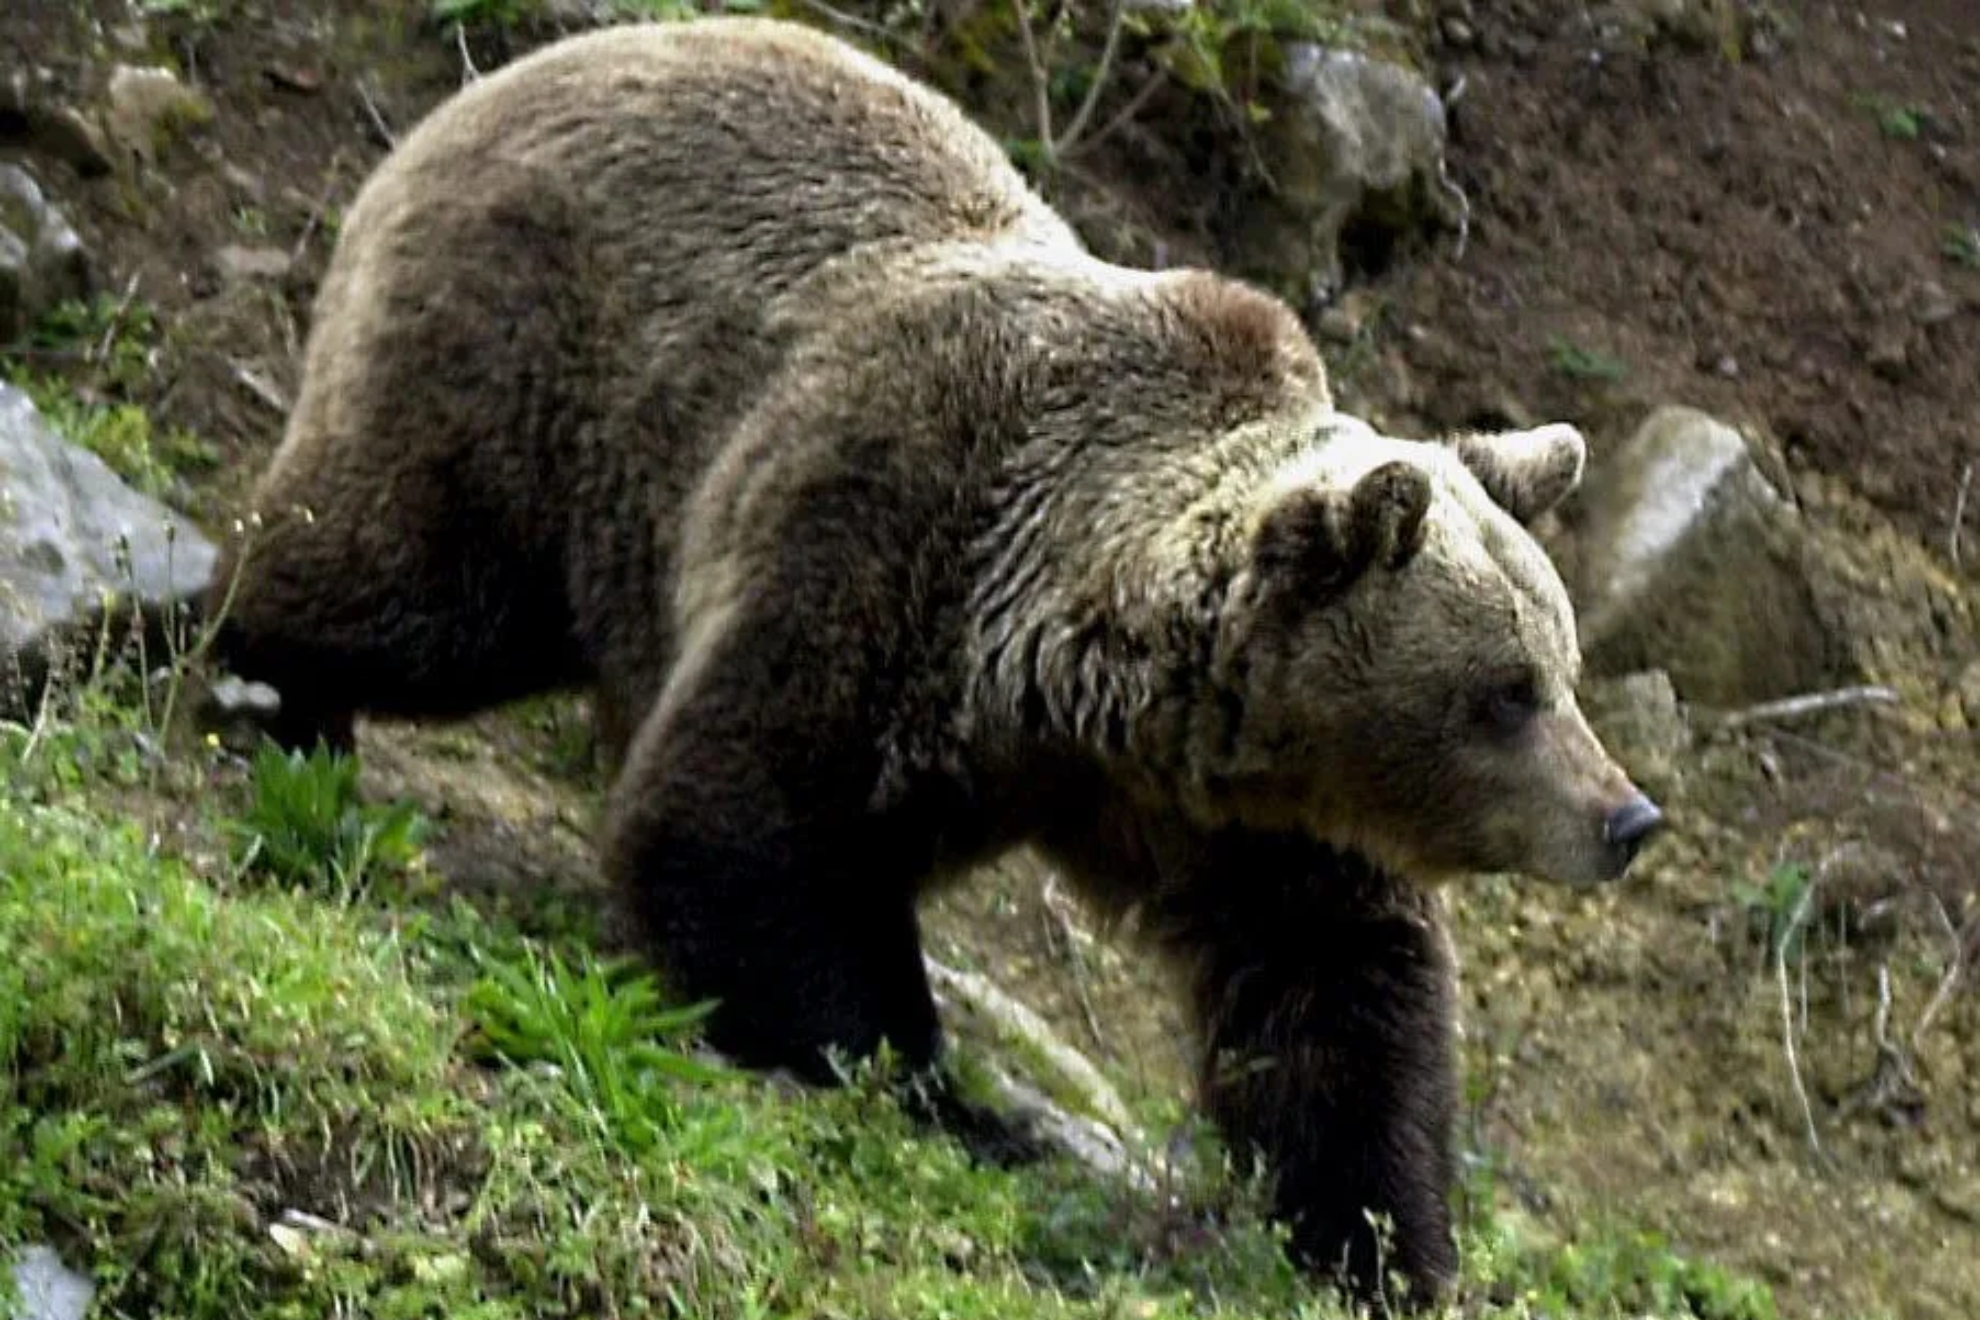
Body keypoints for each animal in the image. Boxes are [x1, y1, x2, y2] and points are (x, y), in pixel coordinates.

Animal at [128, 17, 1662, 1309]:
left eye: (1564, 668)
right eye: (1506, 692)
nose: (1627, 817)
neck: (1076, 680)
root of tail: (490, 84)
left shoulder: (1236, 808)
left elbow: (1341, 994)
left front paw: (1384, 1241)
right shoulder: (883, 539)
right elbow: (745, 823)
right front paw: (941, 1094)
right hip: (534, 382)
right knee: (407, 578)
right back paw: (250, 680)